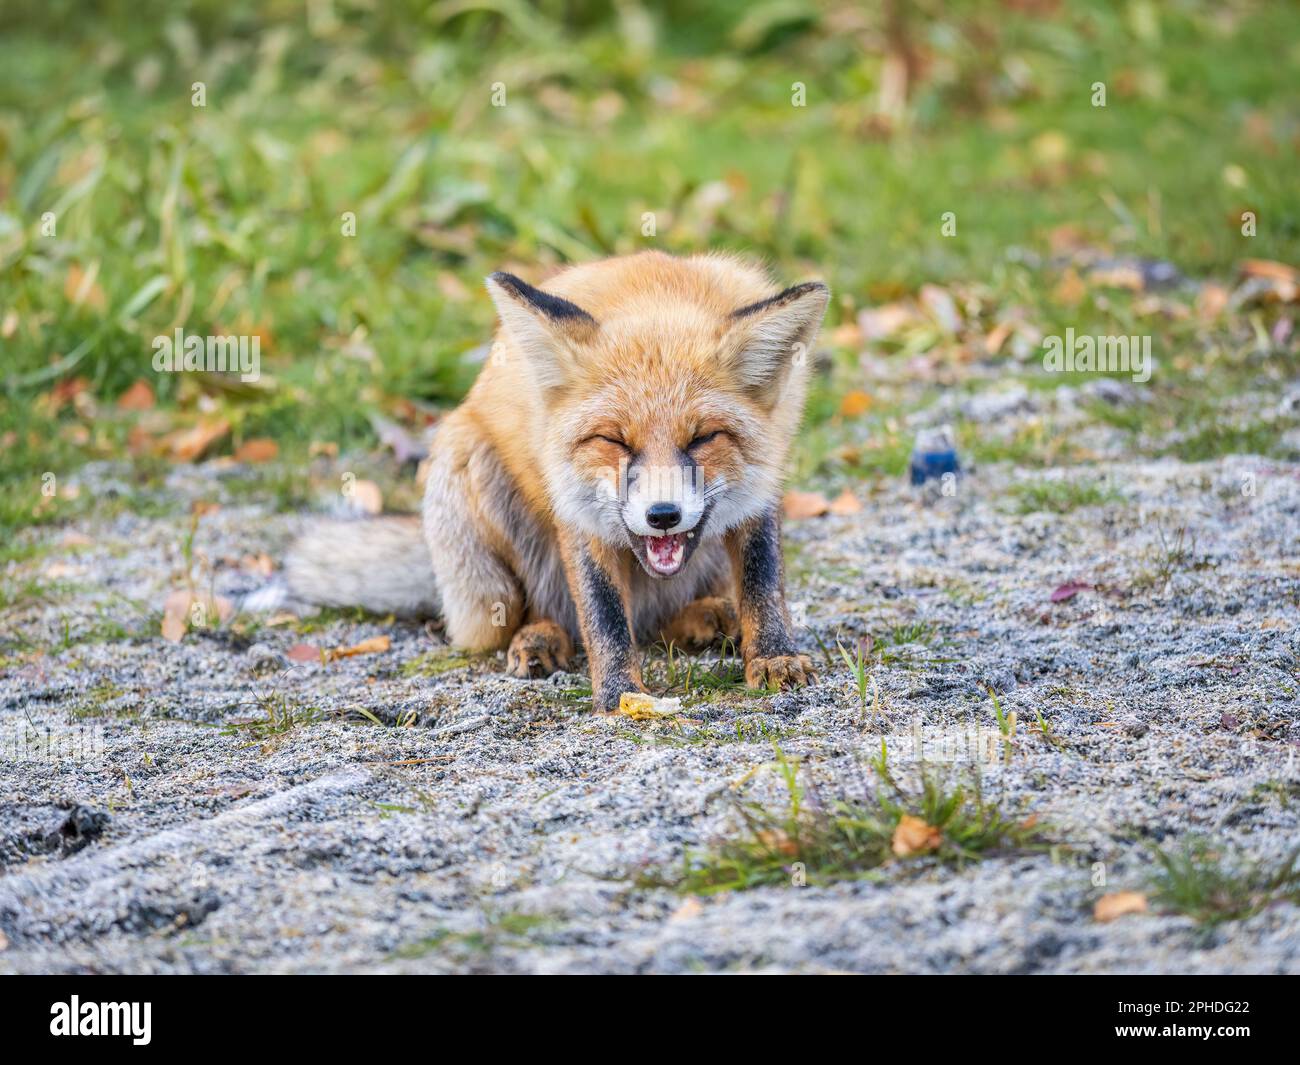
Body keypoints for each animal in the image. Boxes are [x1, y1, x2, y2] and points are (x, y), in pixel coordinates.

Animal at [285, 251, 829, 712]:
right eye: (613, 440)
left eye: (702, 438)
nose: (662, 516)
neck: (656, 295)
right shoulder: (578, 504)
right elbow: (604, 615)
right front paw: (621, 695)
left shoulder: (765, 481)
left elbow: (762, 580)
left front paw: (773, 657)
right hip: (471, 493)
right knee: (528, 618)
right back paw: (539, 638)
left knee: (655, 624)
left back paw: (704, 618)